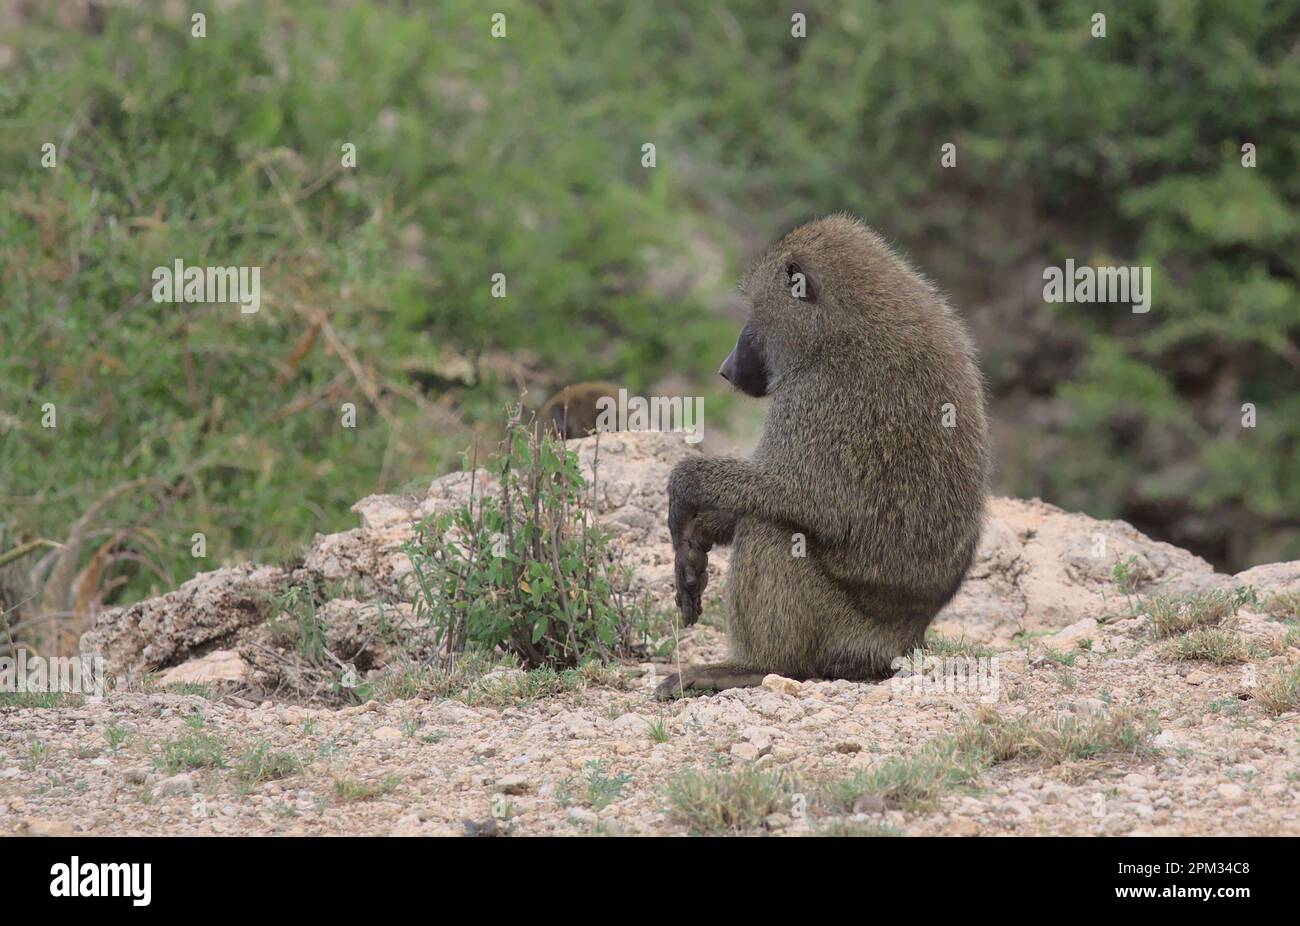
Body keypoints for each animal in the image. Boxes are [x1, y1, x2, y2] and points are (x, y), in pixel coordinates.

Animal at [656, 214, 989, 699]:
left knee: (771, 530)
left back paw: (756, 667)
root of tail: (906, 640)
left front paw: (685, 484)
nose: (725, 368)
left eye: (756, 310)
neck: (844, 320)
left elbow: (815, 502)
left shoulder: (816, 393)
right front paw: (696, 540)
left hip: (843, 631)